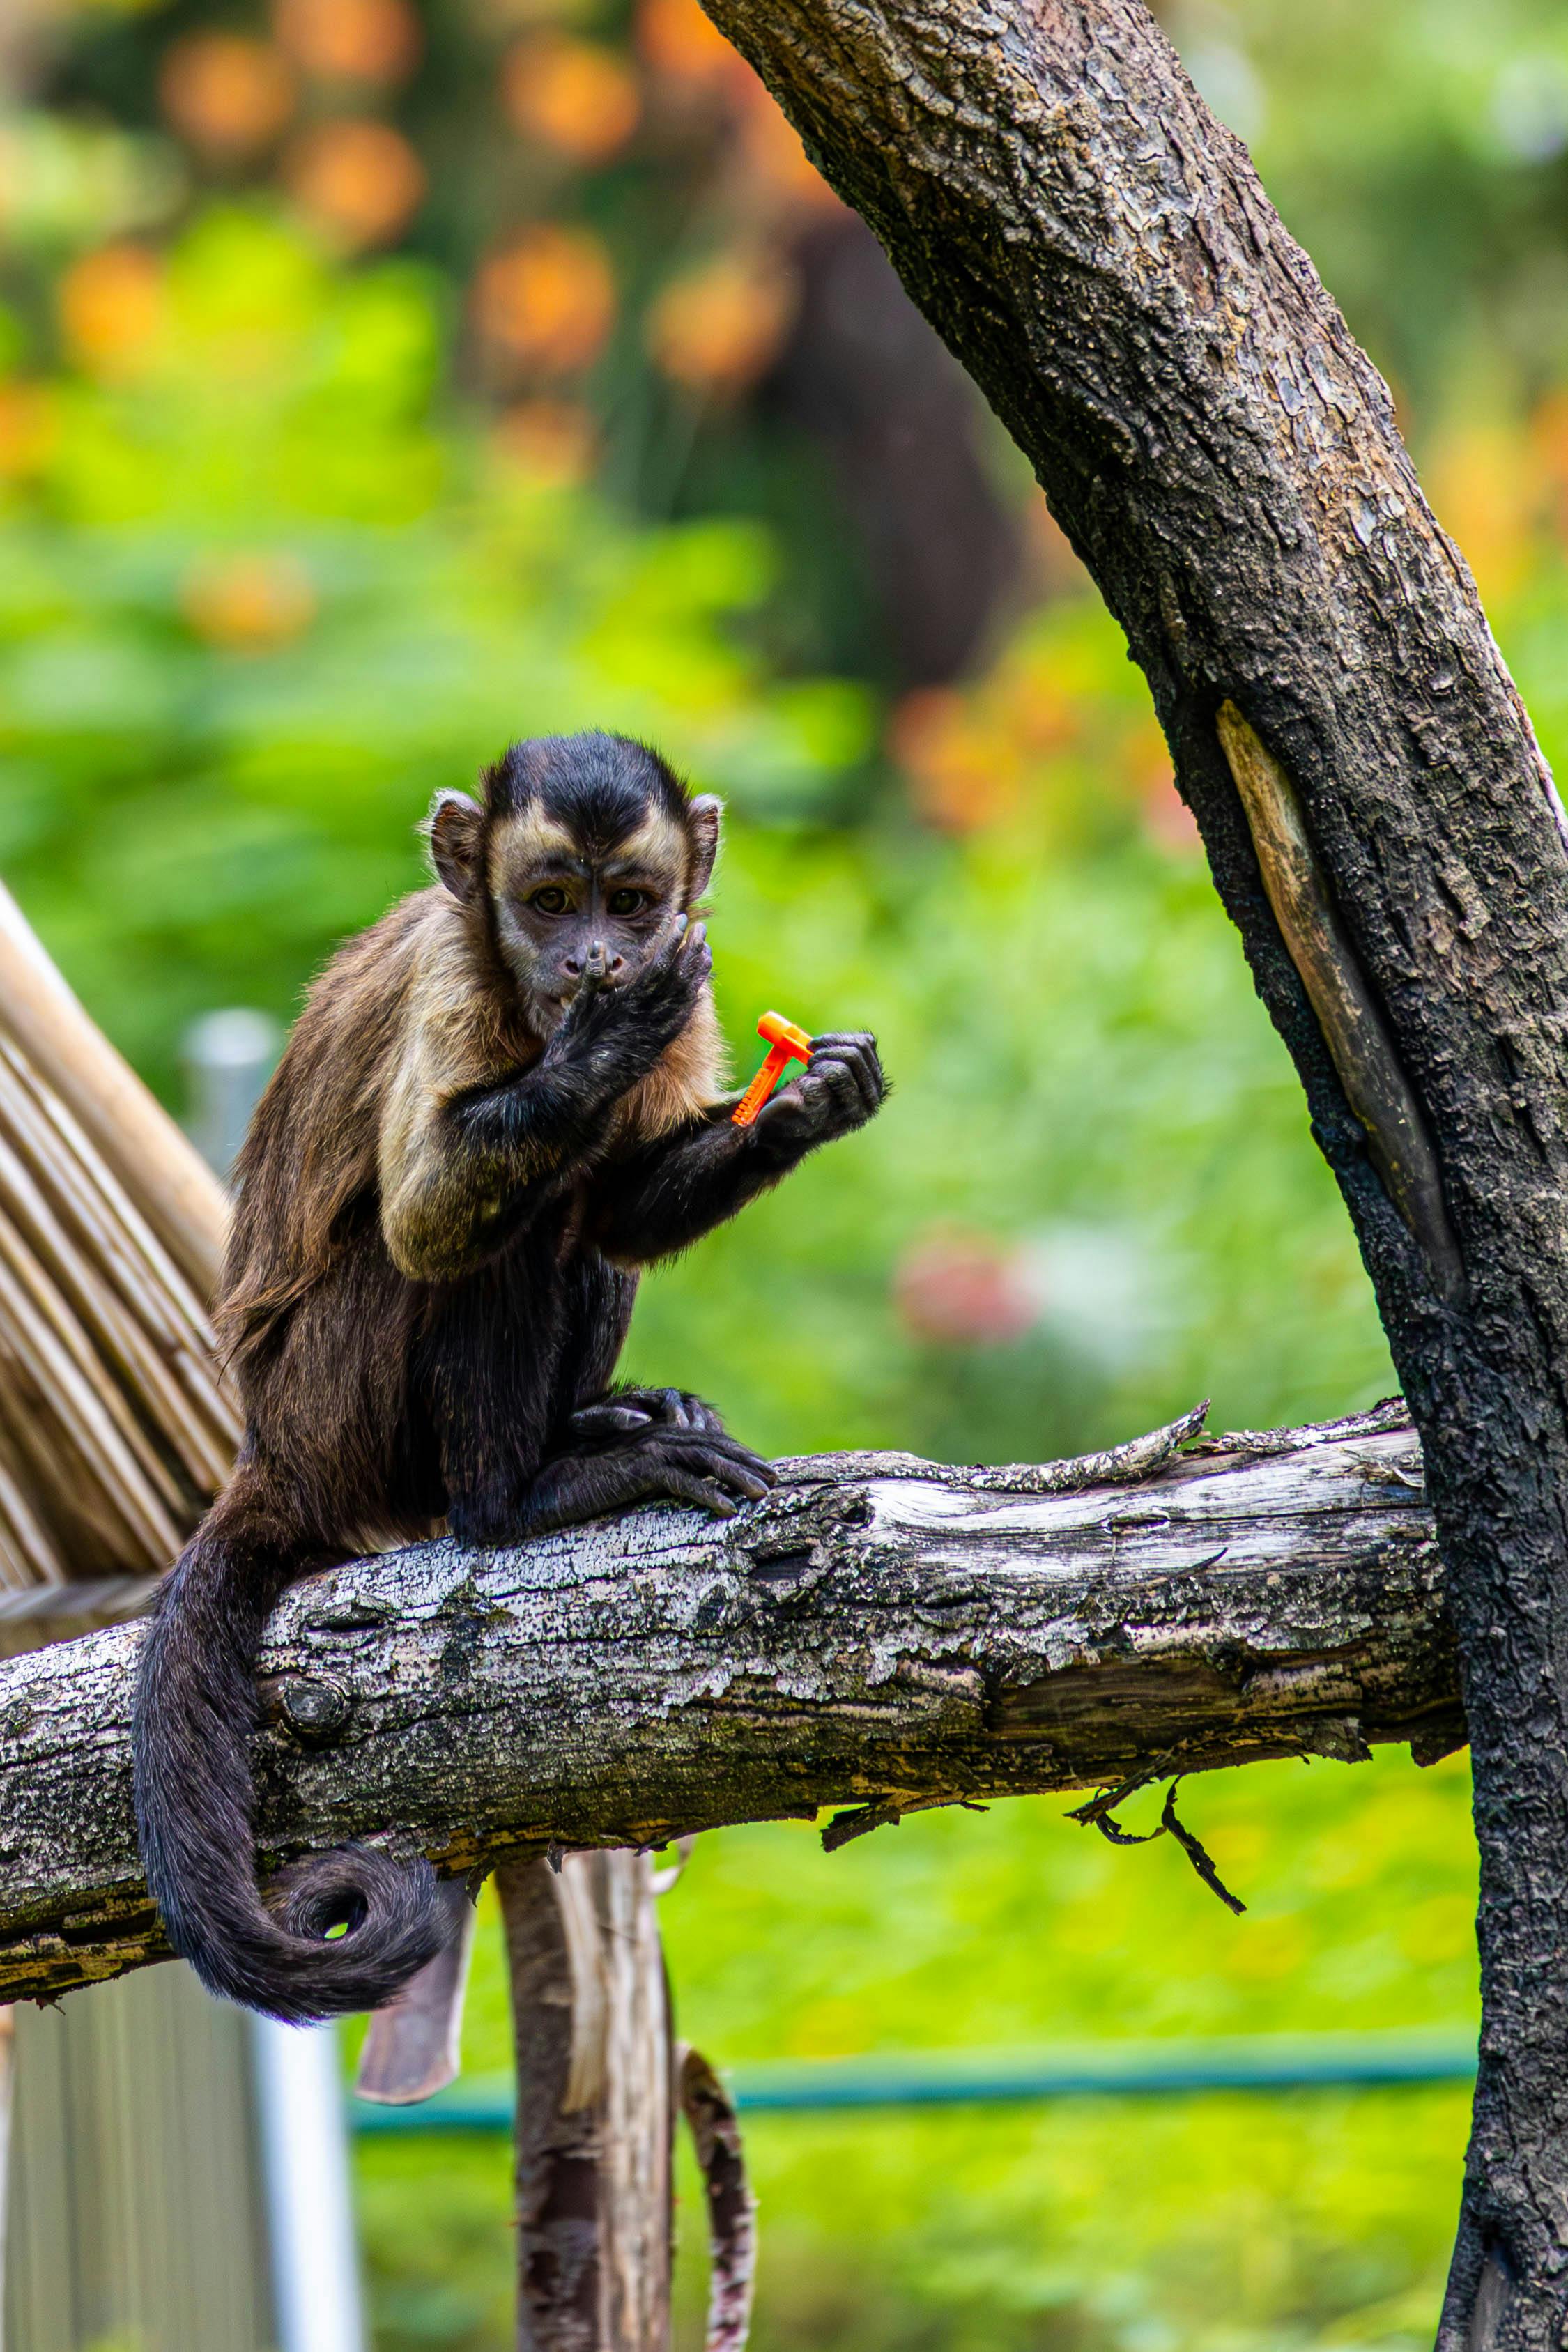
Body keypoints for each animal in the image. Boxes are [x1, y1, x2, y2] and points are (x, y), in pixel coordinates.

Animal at [131, 731, 886, 2023]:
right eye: (546, 900)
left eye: (628, 901)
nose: (595, 959)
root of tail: (273, 1447)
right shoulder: (448, 966)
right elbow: (432, 1225)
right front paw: (608, 1037)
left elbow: (624, 1209)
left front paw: (802, 1100)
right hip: (344, 1411)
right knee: (508, 1234)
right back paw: (516, 1497)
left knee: (578, 1206)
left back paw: (590, 1427)